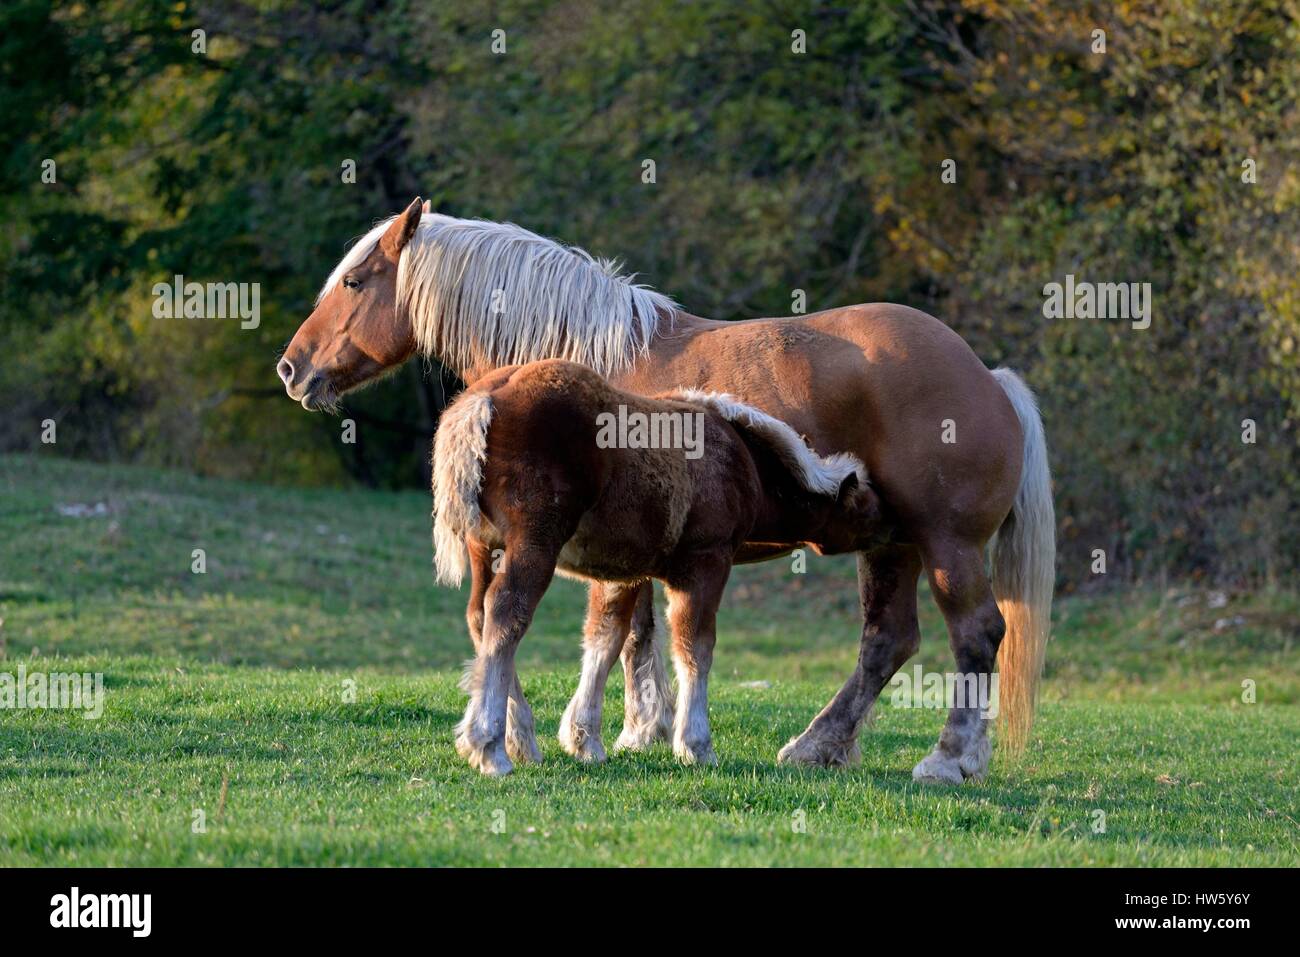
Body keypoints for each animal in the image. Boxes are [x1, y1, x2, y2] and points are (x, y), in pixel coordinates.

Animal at [433, 358, 883, 775]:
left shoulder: (619, 571)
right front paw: (696, 746)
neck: (744, 459)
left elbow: (606, 639)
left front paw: (585, 741)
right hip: (534, 543)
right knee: (507, 615)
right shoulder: (704, 564)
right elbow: (695, 648)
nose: (890, 529)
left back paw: (522, 738)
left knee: (480, 616)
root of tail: (483, 399)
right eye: (864, 506)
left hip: (485, 547)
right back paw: (490, 746)